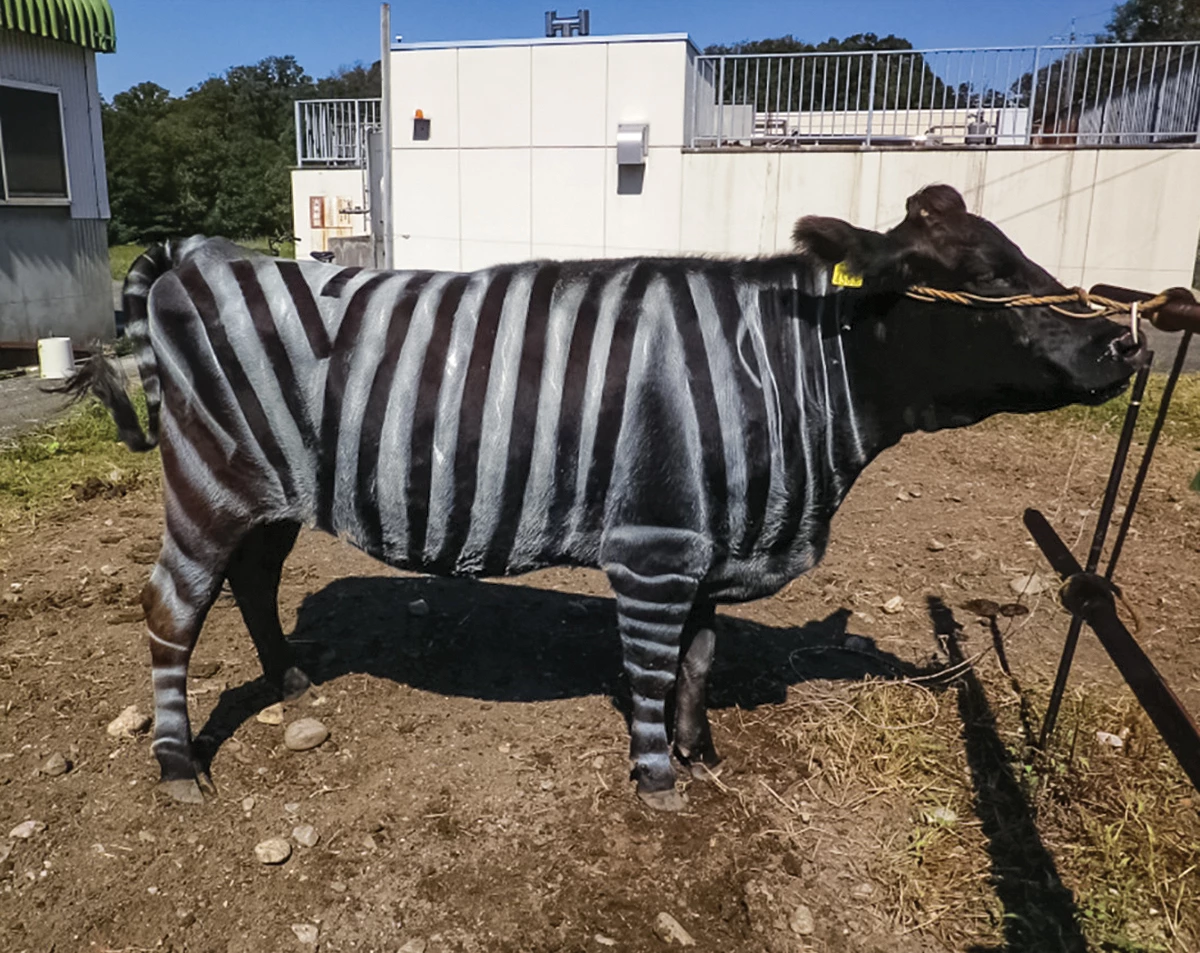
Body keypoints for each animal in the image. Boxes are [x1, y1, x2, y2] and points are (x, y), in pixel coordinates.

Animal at [66, 185, 1144, 810]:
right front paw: (659, 780)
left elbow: (699, 659)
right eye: (984, 277)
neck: (779, 375)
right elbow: (654, 666)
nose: (1125, 340)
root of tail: (203, 253)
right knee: (172, 608)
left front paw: (703, 752)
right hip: (208, 480)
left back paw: (290, 678)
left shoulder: (712, 541)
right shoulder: (657, 547)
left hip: (273, 489)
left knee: (252, 577)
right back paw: (179, 767)